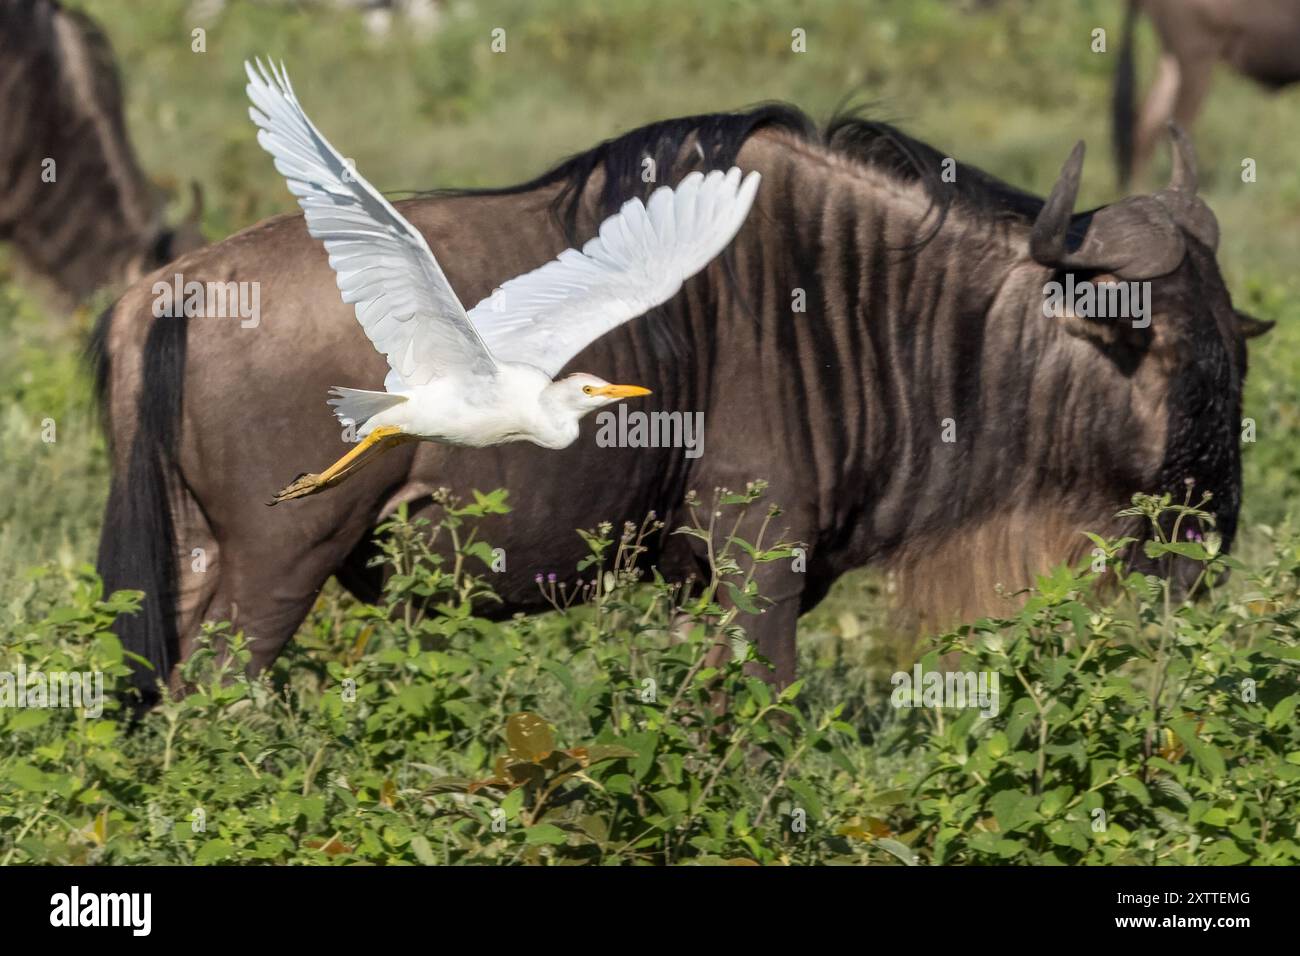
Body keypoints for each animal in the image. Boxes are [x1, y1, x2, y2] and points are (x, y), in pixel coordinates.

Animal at [91, 104, 1268, 703]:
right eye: (1157, 347)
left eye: (1236, 352)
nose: (1202, 548)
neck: (856, 297)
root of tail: (170, 290)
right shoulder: (763, 569)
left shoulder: (690, 582)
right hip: (282, 560)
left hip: (194, 560)